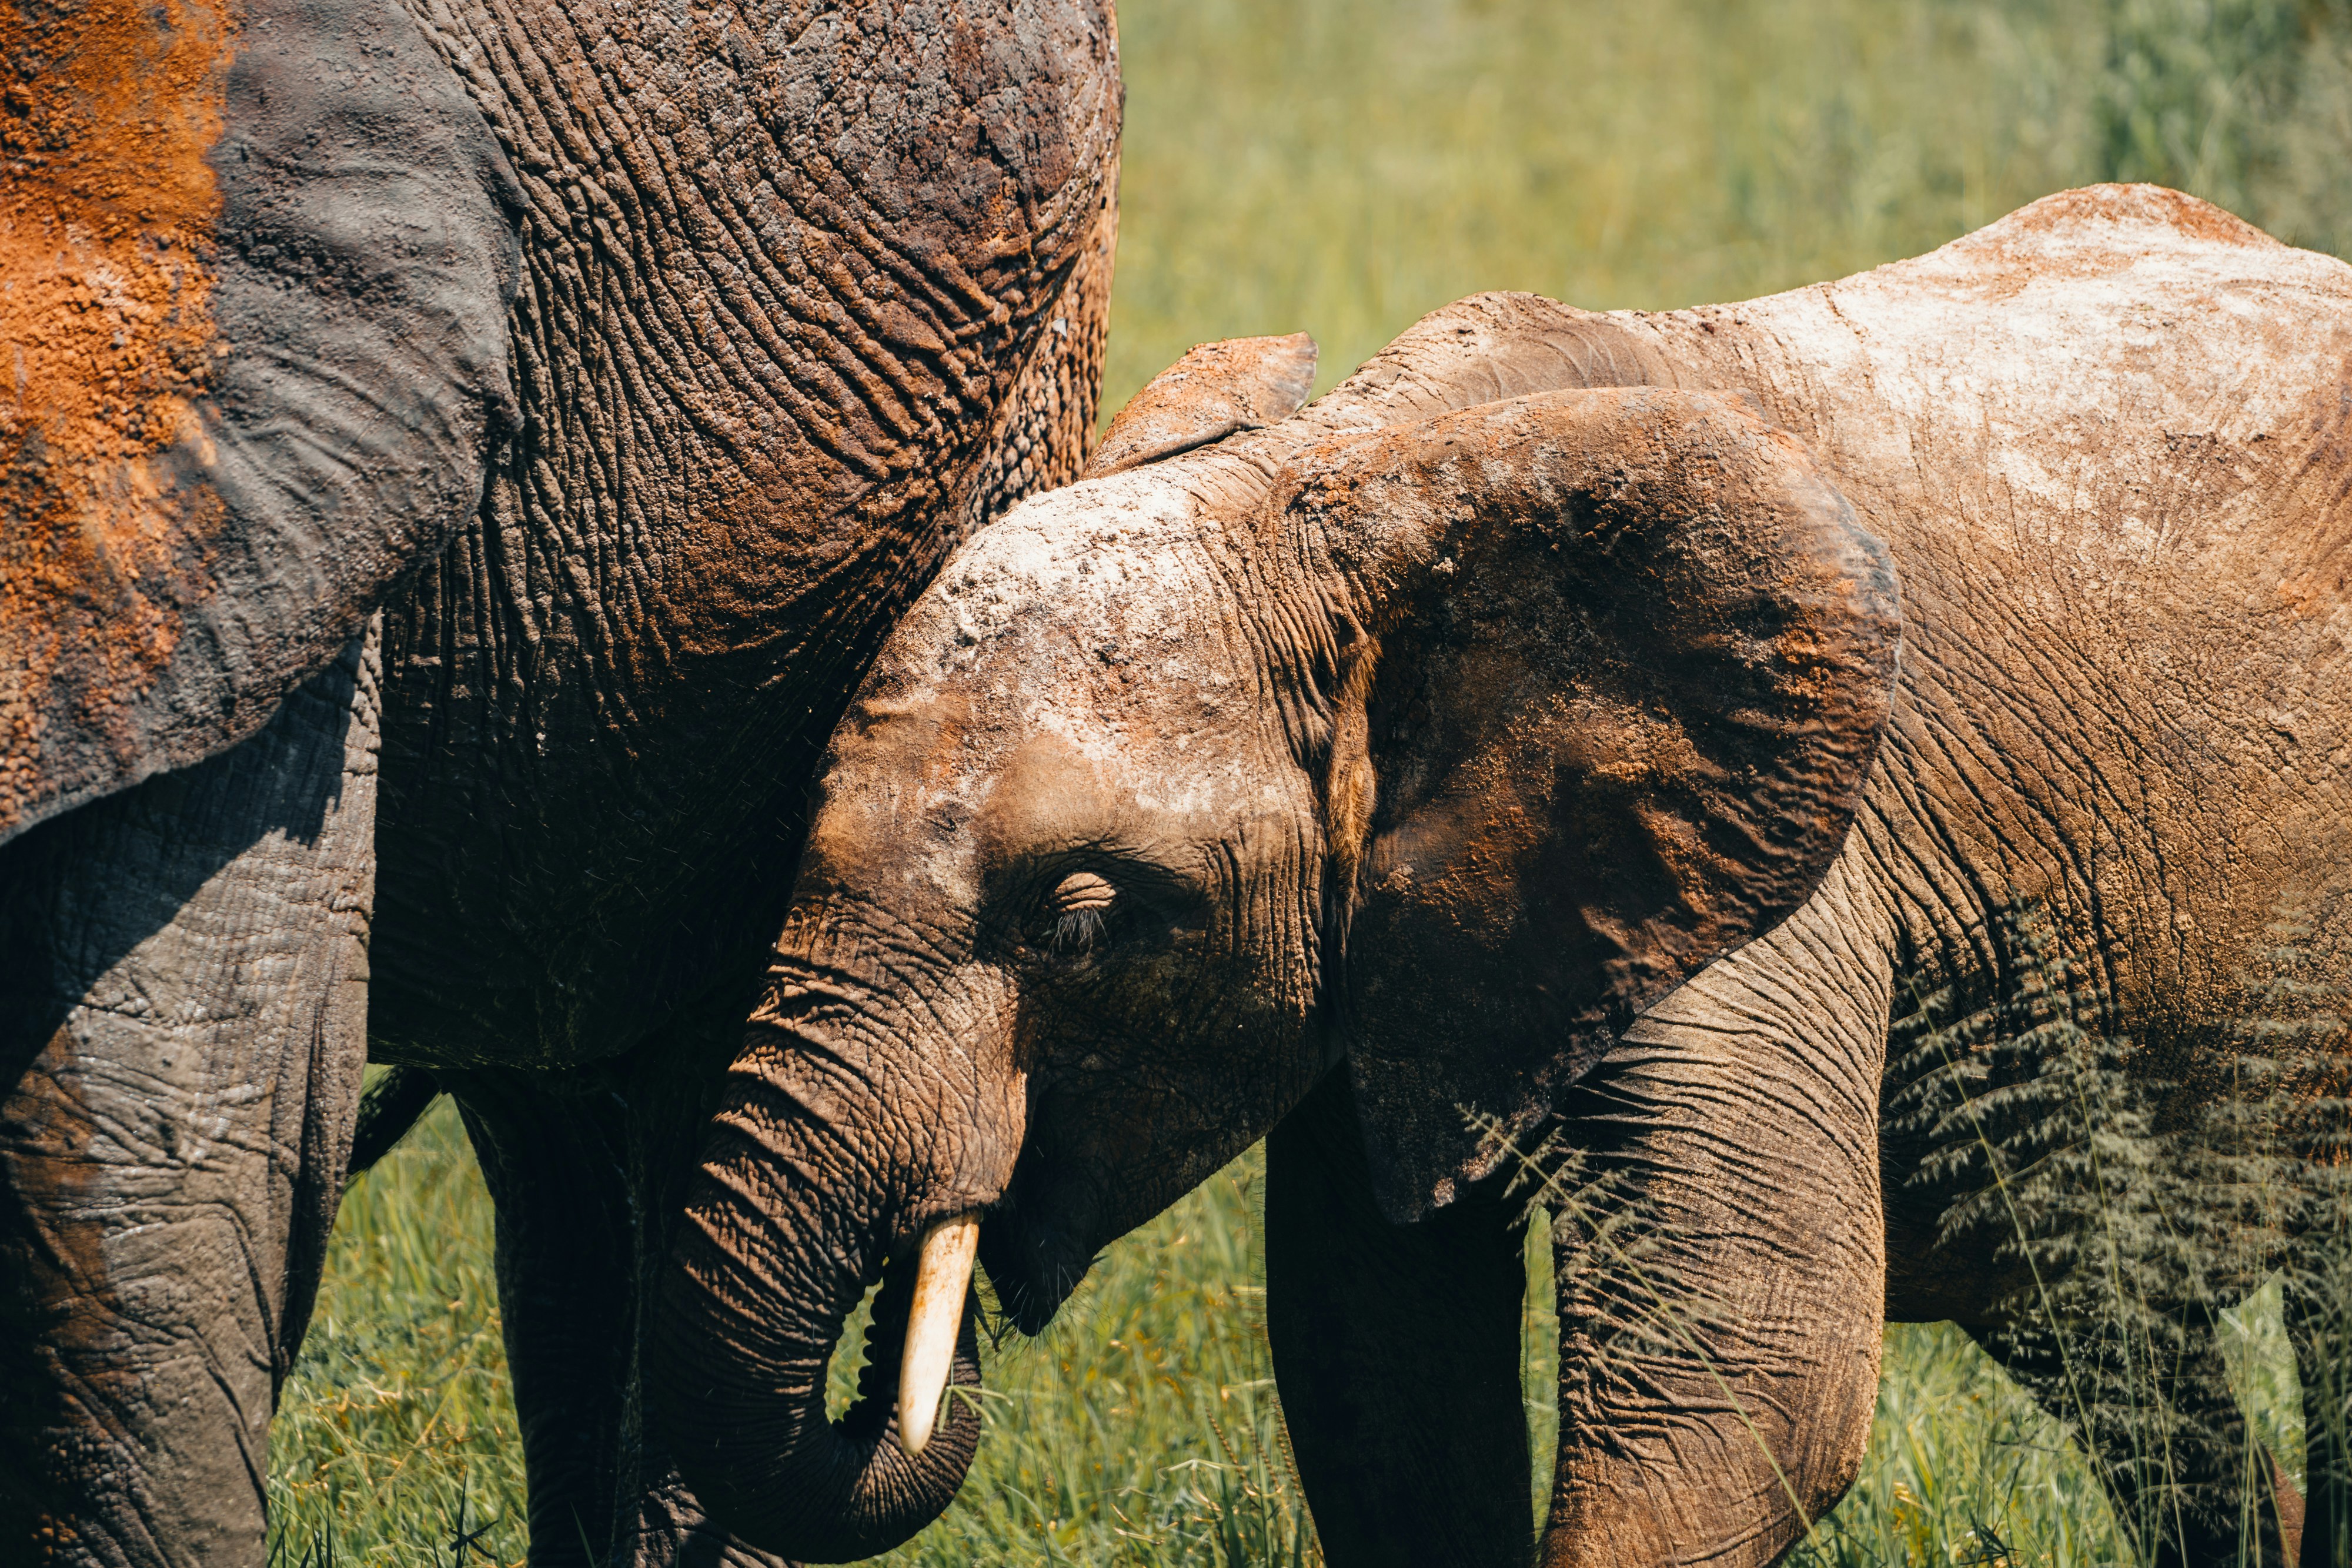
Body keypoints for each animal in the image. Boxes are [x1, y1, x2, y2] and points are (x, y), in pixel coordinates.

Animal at [652, 182, 2352, 1568]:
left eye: (1080, 922)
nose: (903, 1328)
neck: (1346, 478)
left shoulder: (1767, 874)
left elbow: (1757, 1387)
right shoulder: (1395, 934)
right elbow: (1381, 1381)